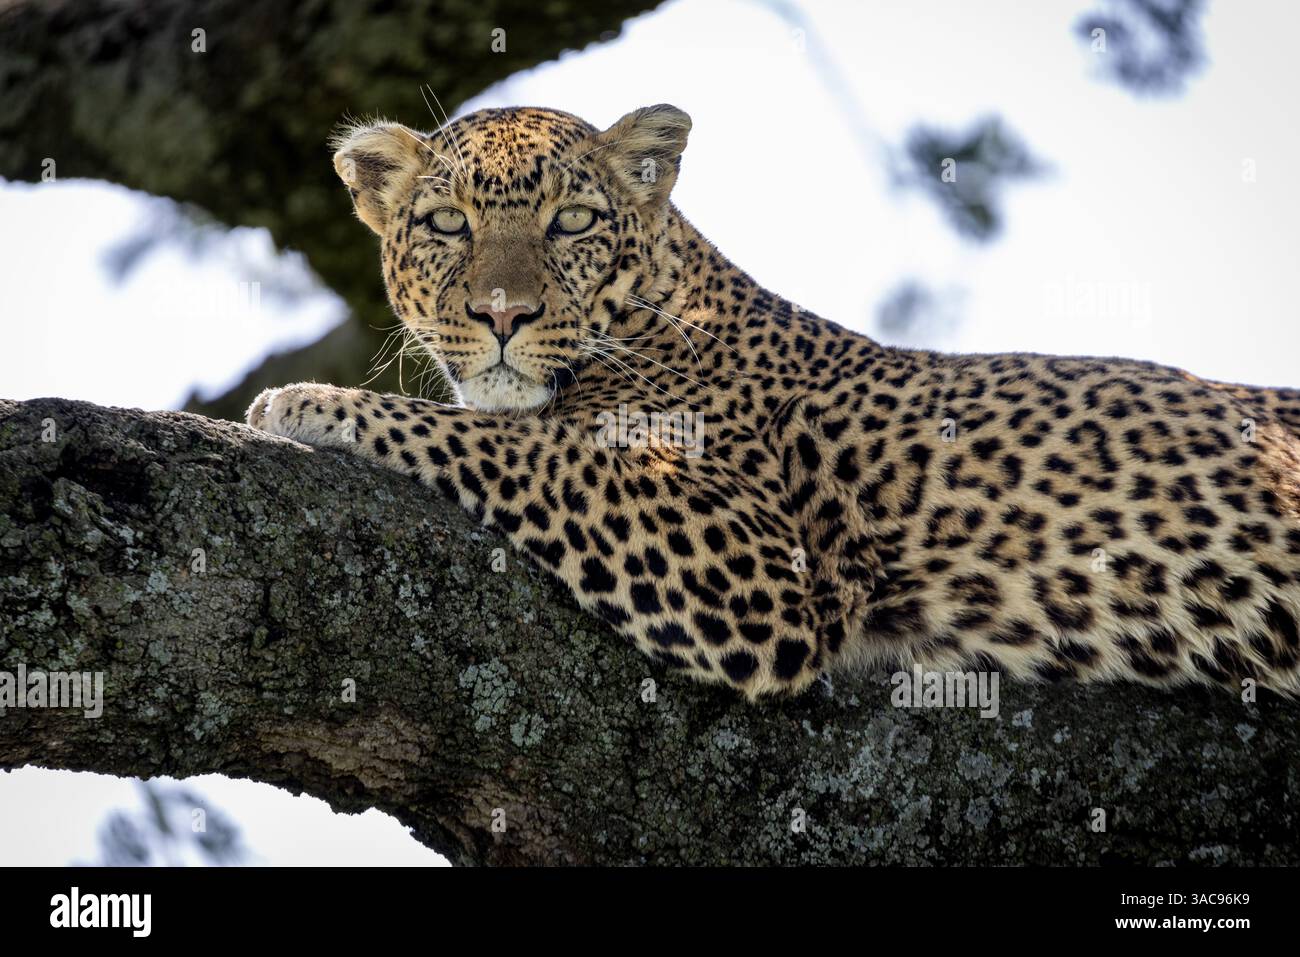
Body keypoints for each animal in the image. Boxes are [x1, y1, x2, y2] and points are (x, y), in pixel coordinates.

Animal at [247, 103, 1300, 701]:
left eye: (574, 221)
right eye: (445, 223)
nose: (502, 314)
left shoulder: (750, 559)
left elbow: (525, 445)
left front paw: (311, 403)